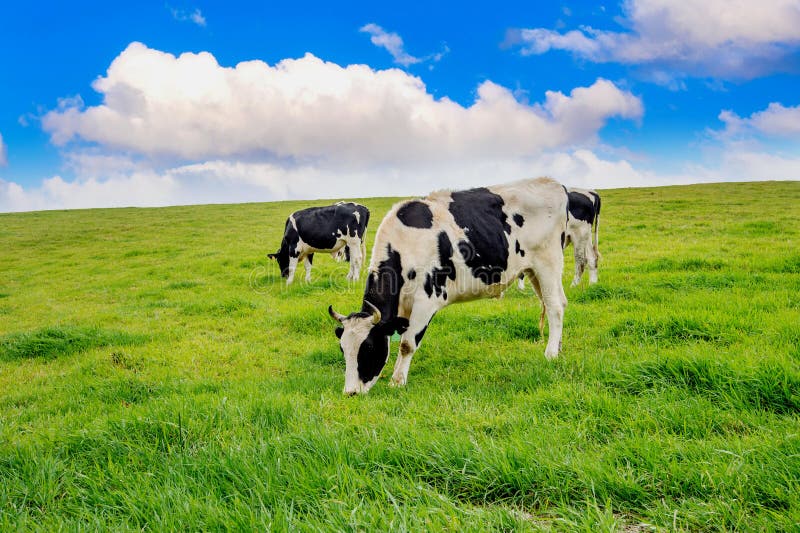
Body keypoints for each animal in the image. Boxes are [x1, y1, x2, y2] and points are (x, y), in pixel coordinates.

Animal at [328, 177, 569, 395]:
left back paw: (550, 354)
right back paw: (558, 347)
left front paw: (397, 381)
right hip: (533, 271)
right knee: (559, 303)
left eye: (368, 347)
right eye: (342, 348)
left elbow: (407, 344)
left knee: (555, 307)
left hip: (548, 263)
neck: (404, 245)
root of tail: (554, 184)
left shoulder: (426, 300)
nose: (350, 392)